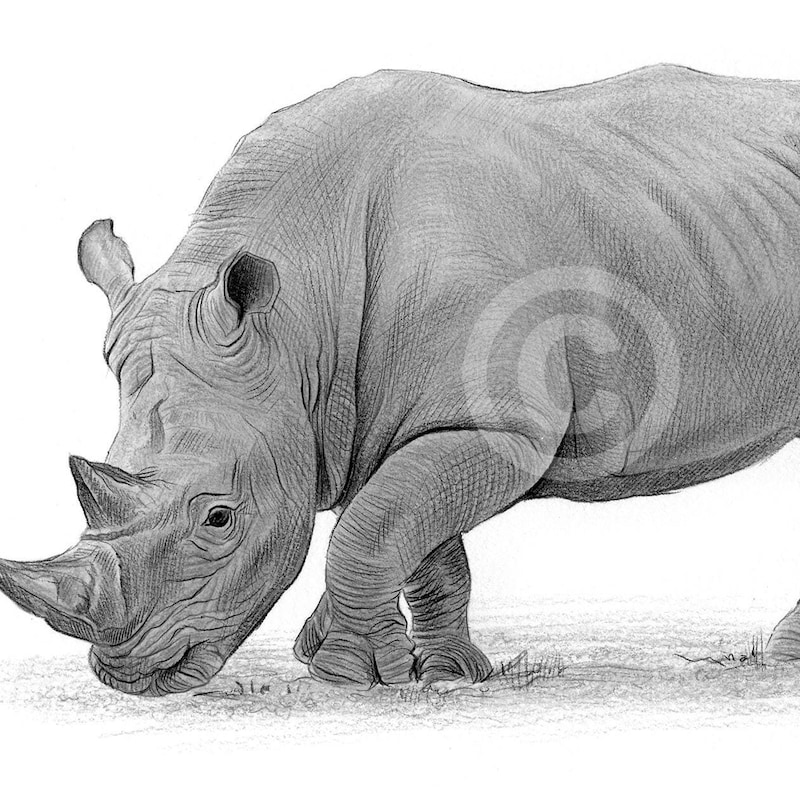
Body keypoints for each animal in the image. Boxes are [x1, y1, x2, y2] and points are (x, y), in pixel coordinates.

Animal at [2, 64, 800, 695]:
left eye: (219, 519)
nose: (127, 677)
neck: (299, 322)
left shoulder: (498, 424)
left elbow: (373, 527)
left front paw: (346, 674)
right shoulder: (386, 416)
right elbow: (415, 540)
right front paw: (443, 672)